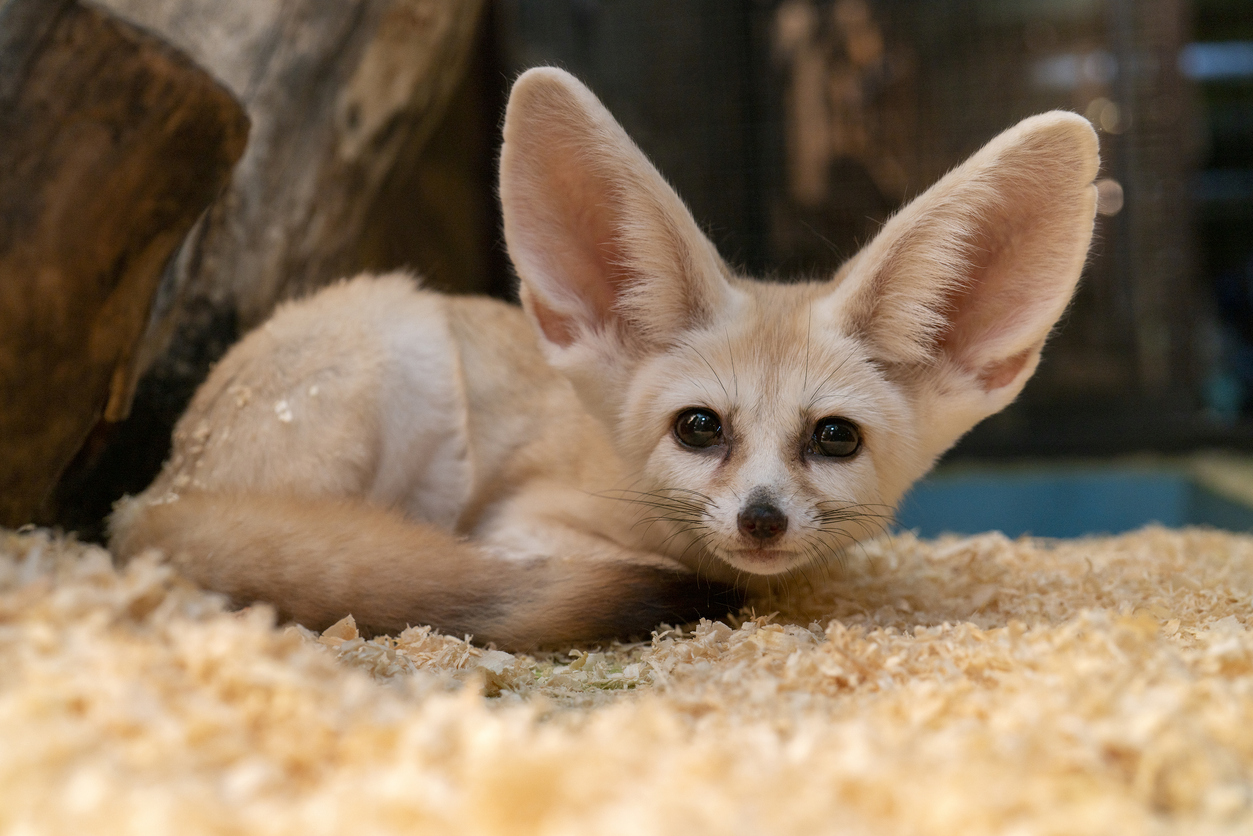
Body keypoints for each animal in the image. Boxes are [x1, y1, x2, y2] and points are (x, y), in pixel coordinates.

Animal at [109, 67, 1099, 651]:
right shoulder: (522, 524)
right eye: (697, 428)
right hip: (398, 345)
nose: (762, 520)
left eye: (834, 438)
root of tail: (151, 497)